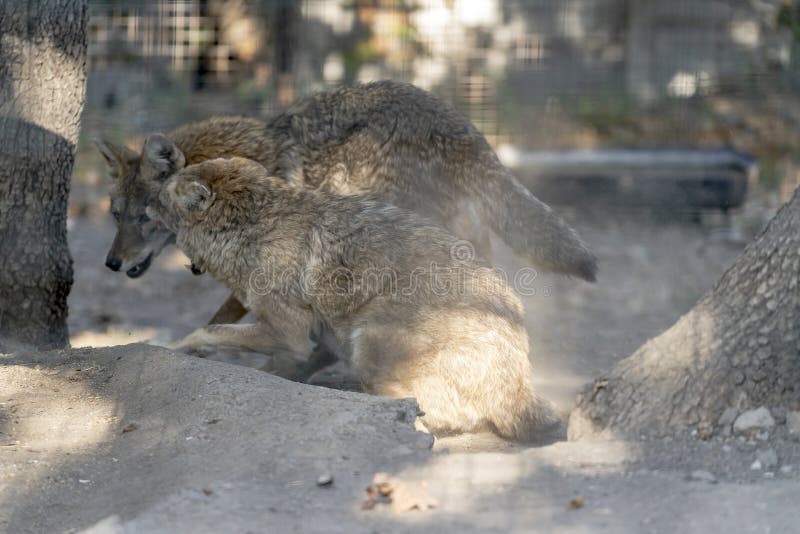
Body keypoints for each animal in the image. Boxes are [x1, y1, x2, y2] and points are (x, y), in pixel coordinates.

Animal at [143, 155, 559, 441]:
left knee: (417, 415)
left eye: (161, 198)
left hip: (368, 342)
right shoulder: (321, 338)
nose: (144, 204)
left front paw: (174, 347)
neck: (255, 226)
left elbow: (206, 331)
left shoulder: (287, 332)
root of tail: (518, 386)